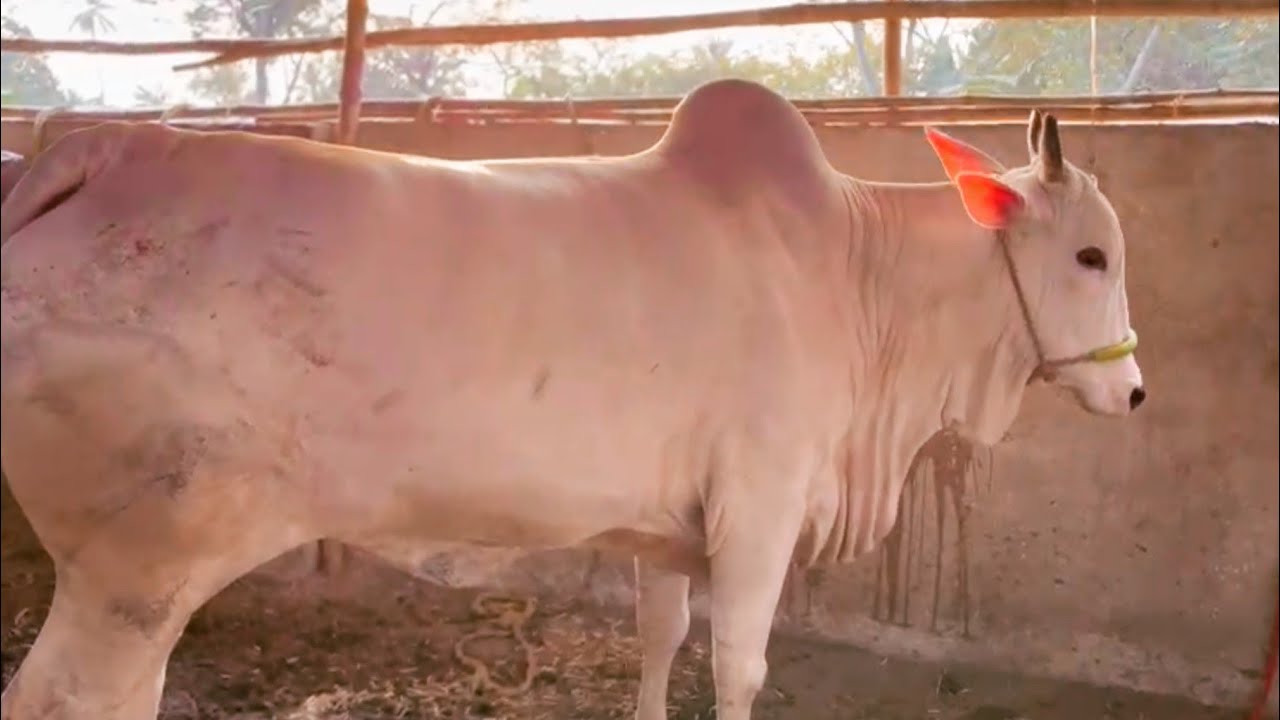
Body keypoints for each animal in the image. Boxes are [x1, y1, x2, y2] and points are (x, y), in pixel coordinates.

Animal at [0, 79, 1144, 720]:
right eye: (1091, 254)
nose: (1132, 390)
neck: (856, 275)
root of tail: (103, 146)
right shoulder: (762, 511)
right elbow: (739, 670)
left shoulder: (666, 530)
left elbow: (660, 642)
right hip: (139, 570)